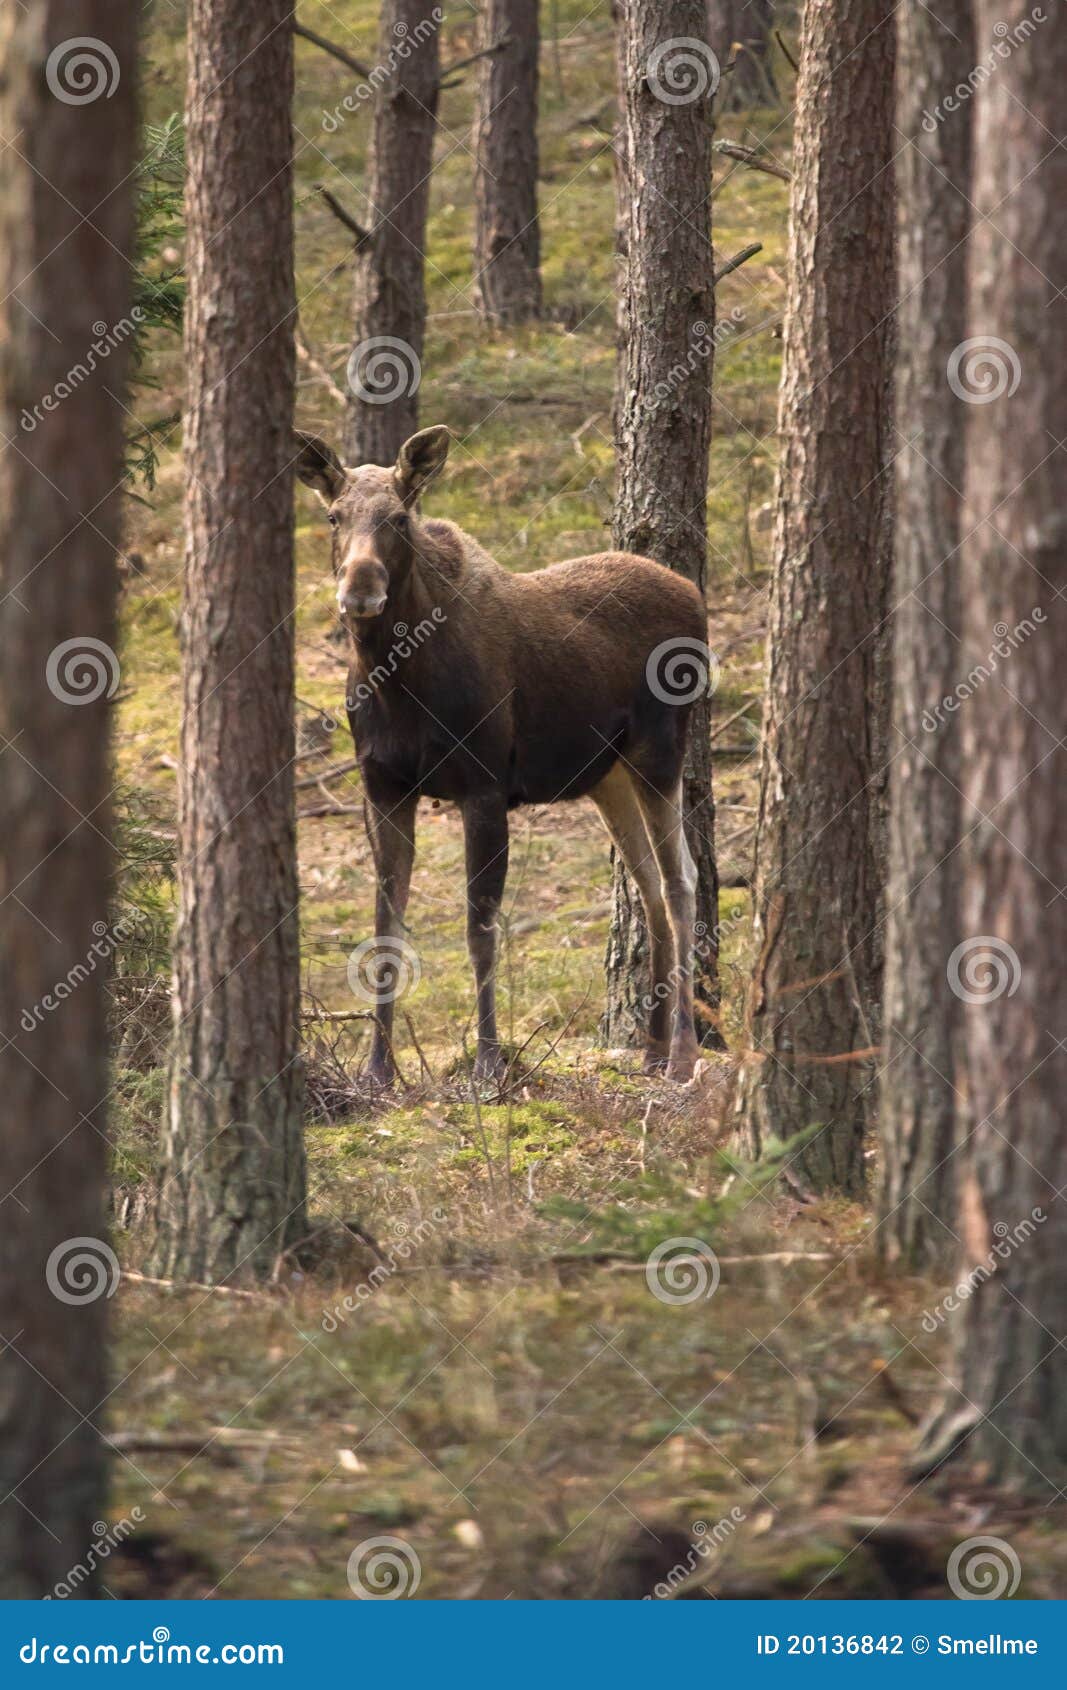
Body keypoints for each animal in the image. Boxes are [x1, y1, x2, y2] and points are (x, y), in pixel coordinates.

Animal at [294, 425, 711, 1086]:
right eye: (333, 516)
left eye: (400, 518)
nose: (359, 589)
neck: (398, 680)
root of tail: (694, 593)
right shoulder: (383, 789)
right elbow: (386, 928)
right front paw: (378, 1069)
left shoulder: (484, 787)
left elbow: (480, 928)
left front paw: (490, 1062)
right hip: (607, 776)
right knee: (645, 881)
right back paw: (648, 1049)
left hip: (660, 754)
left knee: (680, 881)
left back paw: (682, 1054)